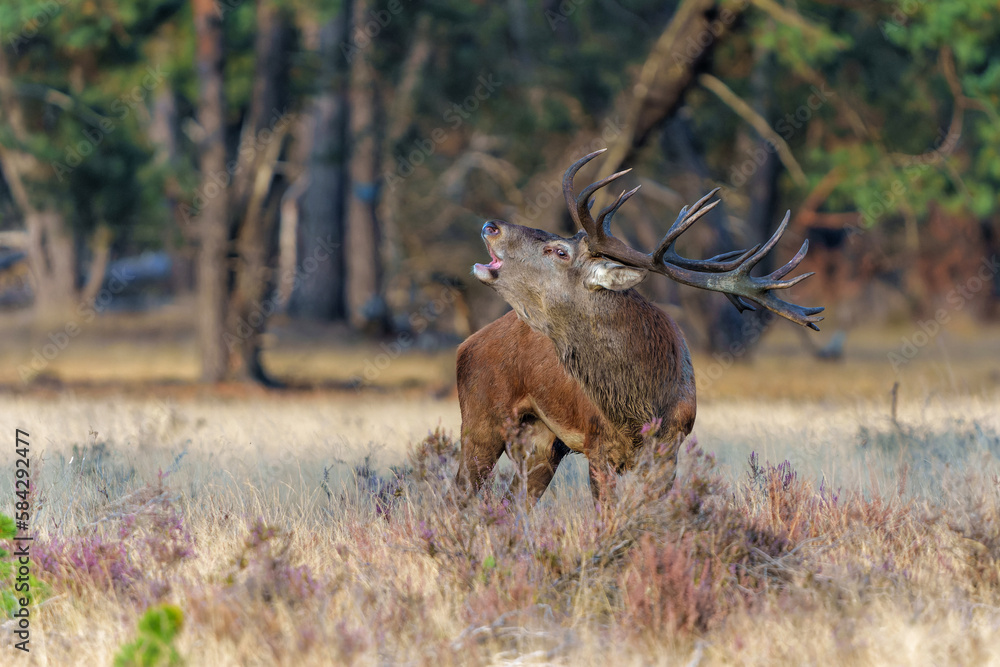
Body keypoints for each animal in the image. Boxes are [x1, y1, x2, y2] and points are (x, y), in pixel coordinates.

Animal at [455, 149, 823, 507]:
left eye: (559, 251)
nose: (491, 226)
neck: (638, 407)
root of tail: (466, 344)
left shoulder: (670, 445)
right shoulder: (596, 443)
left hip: (542, 440)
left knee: (512, 502)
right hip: (479, 418)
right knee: (461, 492)